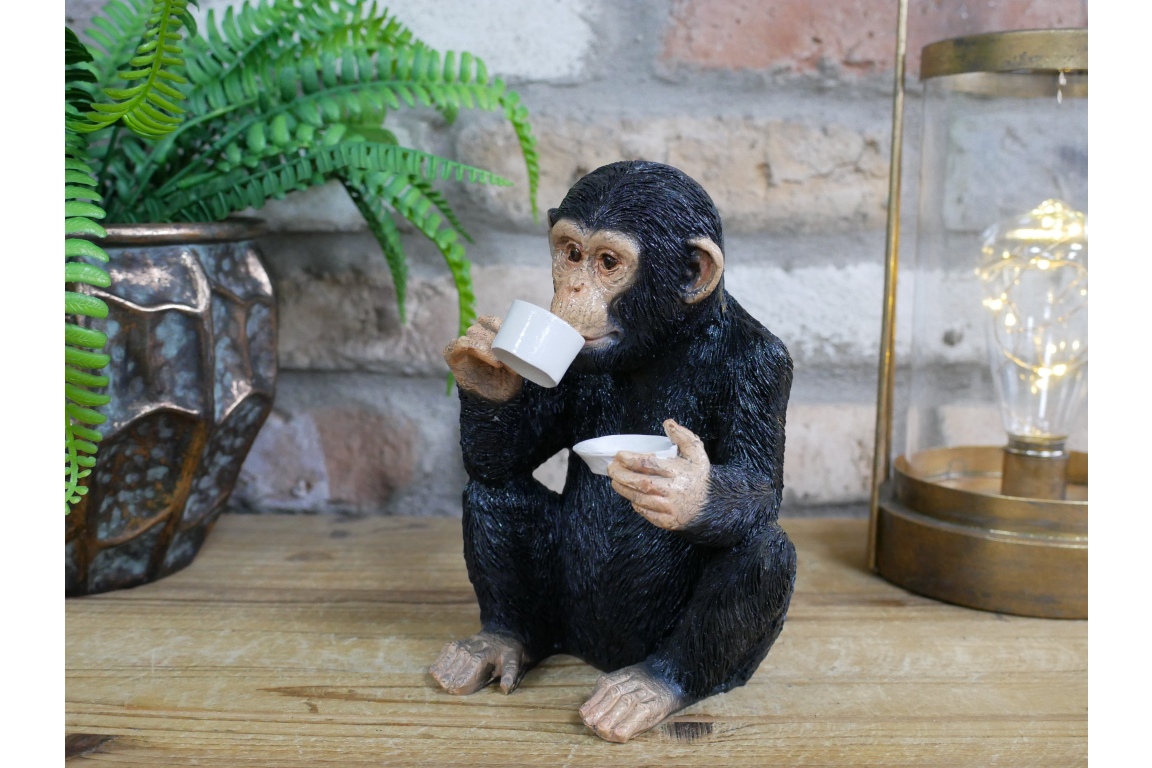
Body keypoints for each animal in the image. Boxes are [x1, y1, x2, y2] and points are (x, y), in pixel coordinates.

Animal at [433, 161, 796, 743]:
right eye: (570, 253)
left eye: (608, 262)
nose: (573, 285)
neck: (665, 346)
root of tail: (598, 654)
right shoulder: (573, 364)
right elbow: (500, 461)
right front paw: (488, 368)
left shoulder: (764, 363)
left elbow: (760, 483)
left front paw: (685, 489)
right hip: (565, 619)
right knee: (496, 491)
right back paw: (502, 639)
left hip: (657, 646)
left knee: (763, 549)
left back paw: (651, 687)